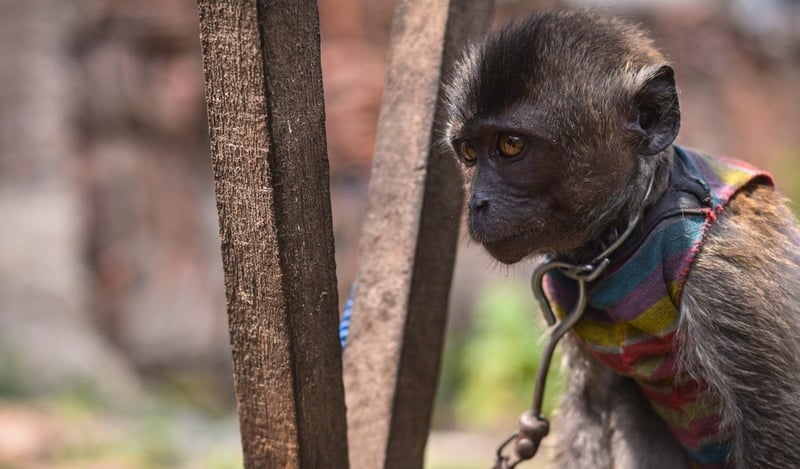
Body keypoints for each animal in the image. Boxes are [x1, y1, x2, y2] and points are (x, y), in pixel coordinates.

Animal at [442, 10, 800, 469]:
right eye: (469, 152)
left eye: (511, 145)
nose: (478, 203)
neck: (630, 224)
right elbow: (588, 408)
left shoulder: (725, 280)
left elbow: (774, 428)